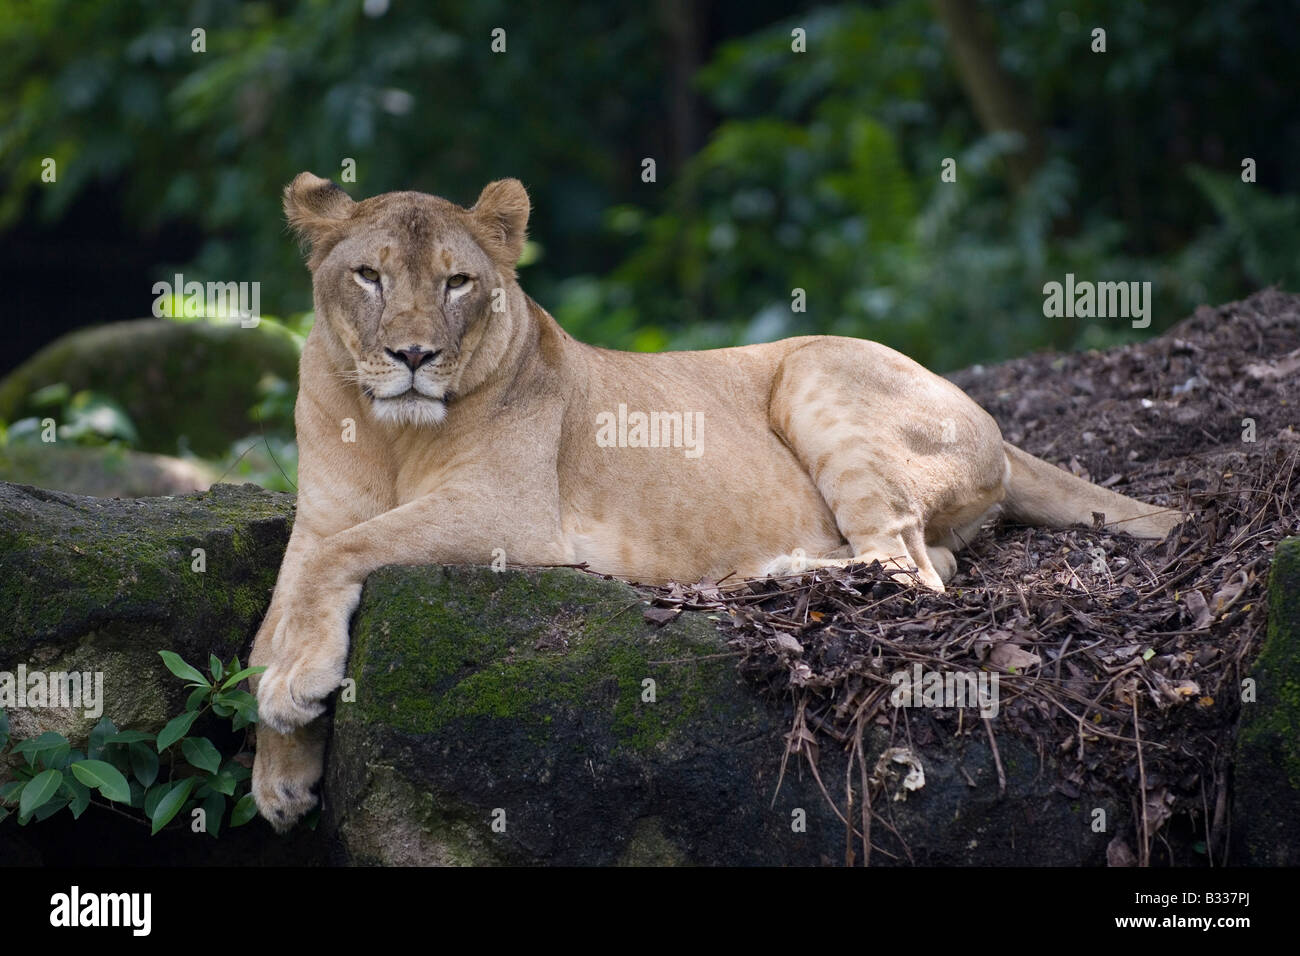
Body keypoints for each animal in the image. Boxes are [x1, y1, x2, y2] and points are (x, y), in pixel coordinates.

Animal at [249, 173, 1183, 830]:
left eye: (456, 284)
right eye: (368, 276)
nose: (412, 356)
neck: (389, 433)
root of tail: (981, 407)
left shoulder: (508, 514)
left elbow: (336, 562)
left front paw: (295, 688)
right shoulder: (319, 518)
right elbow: (279, 610)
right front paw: (280, 774)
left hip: (816, 372)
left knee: (907, 569)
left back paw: (782, 571)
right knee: (934, 562)